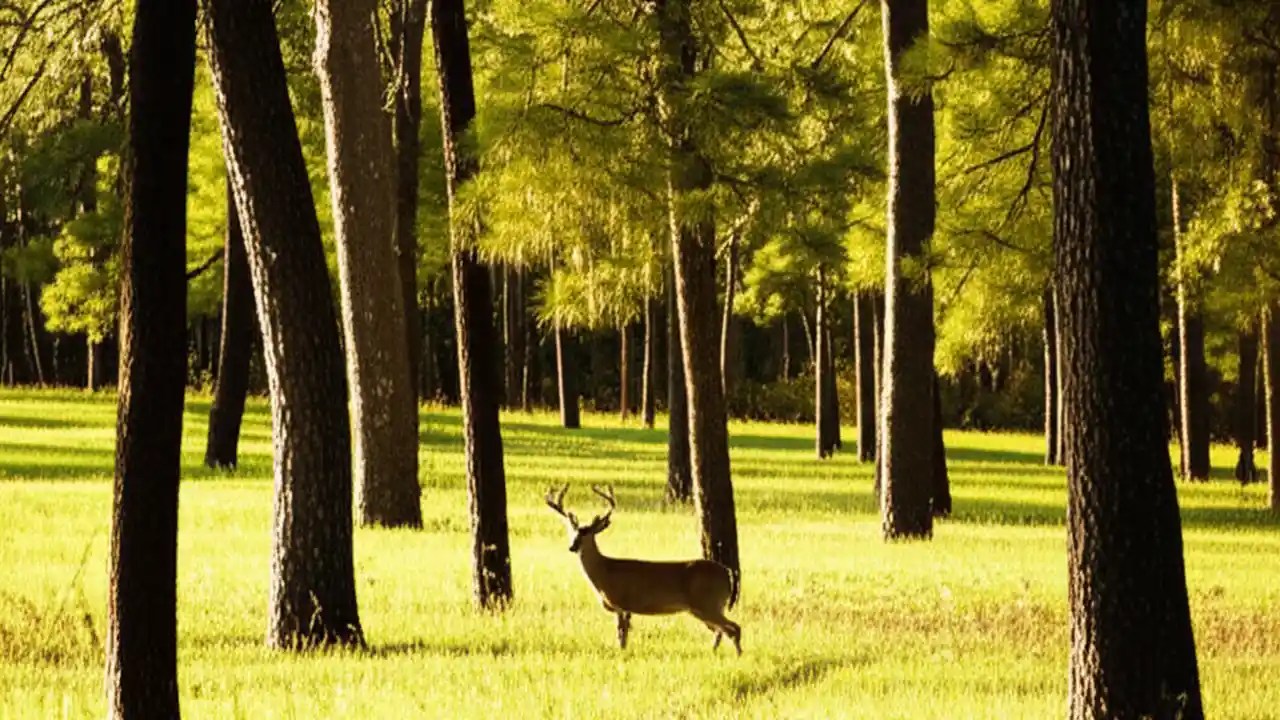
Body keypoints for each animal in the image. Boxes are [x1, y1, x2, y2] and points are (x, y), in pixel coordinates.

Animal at [545, 484, 742, 655]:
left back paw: (738, 655)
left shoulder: (623, 603)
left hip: (708, 603)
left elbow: (622, 633)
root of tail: (727, 572)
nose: (572, 546)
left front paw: (622, 652)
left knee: (733, 628)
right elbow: (622, 633)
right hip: (706, 607)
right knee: (721, 630)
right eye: (573, 532)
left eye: (587, 533)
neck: (605, 571)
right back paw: (714, 651)